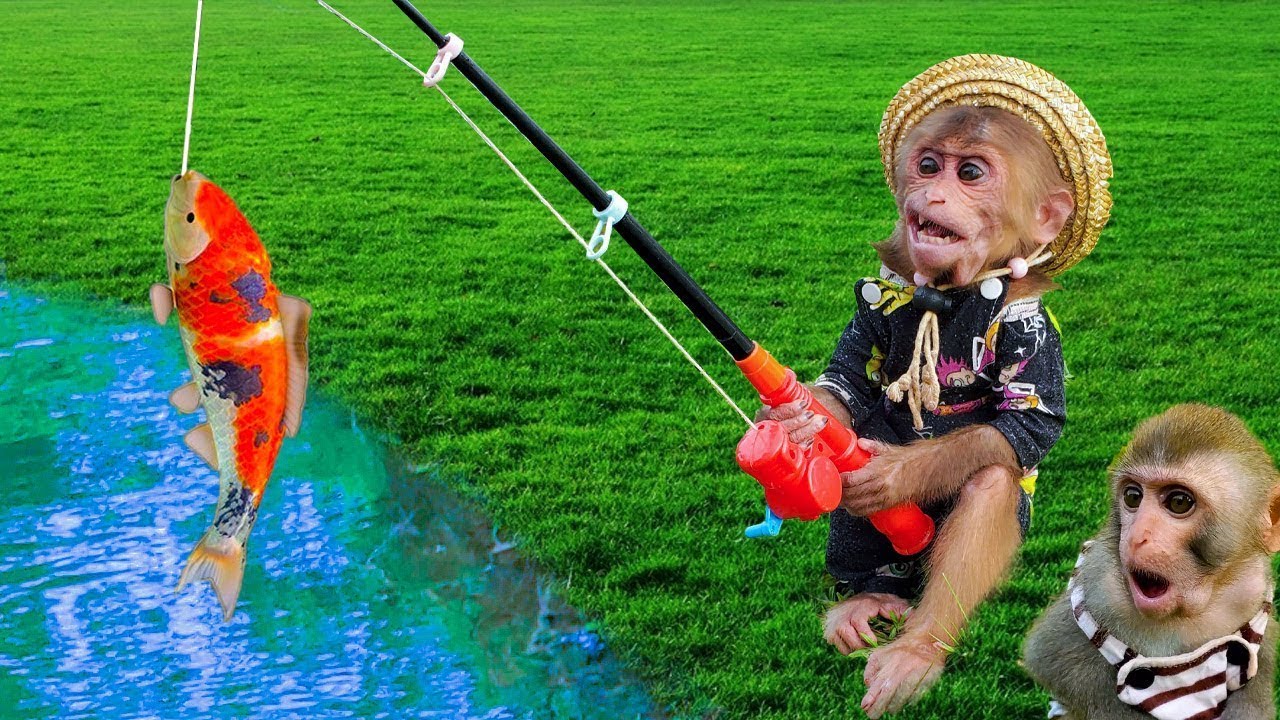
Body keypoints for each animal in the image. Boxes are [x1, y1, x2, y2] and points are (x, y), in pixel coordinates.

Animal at [758, 54, 1113, 718]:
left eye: (970, 172)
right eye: (927, 164)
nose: (934, 190)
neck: (950, 296)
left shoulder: (1028, 335)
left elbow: (1026, 422)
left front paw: (895, 474)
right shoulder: (870, 307)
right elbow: (847, 387)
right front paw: (794, 417)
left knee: (989, 482)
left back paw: (915, 653)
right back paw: (862, 603)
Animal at [1022, 404, 1280, 720]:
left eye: (1179, 502)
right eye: (1133, 496)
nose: (1135, 537)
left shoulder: (1253, 597)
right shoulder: (1098, 590)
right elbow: (1049, 656)